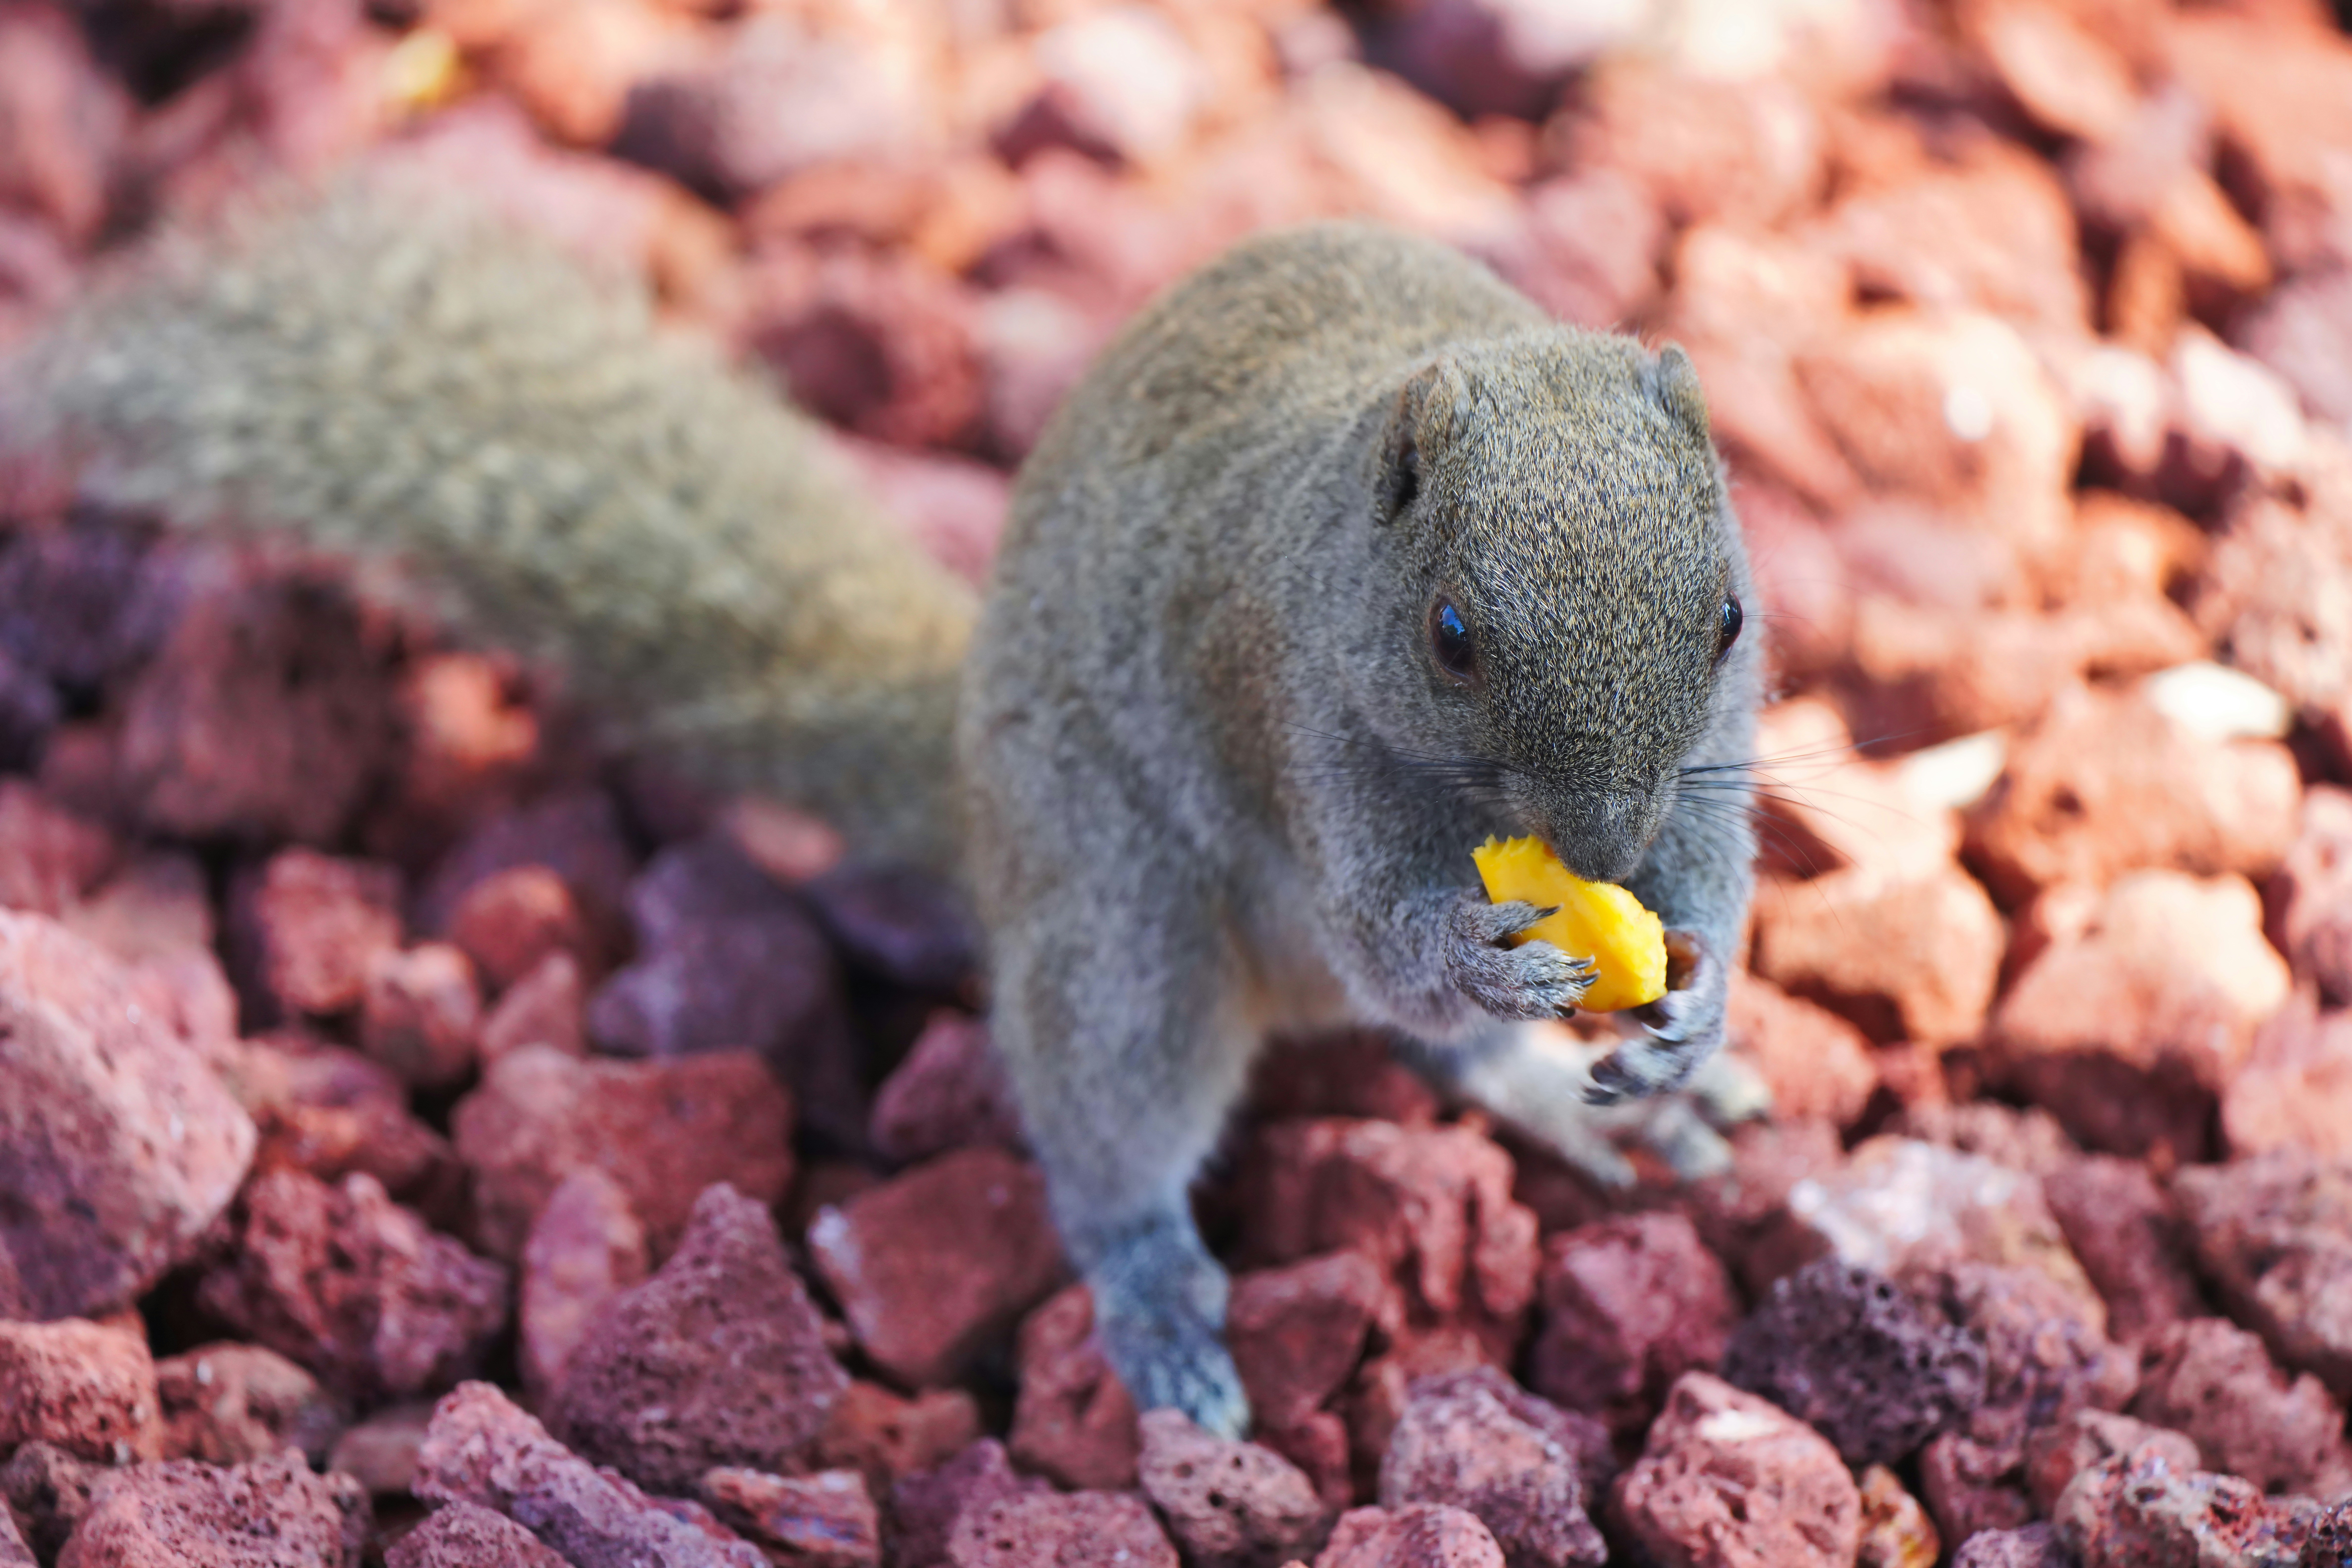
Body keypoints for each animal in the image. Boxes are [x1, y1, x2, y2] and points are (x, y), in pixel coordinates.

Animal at [3, 181, 1761, 1437]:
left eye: (1734, 616)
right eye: (1452, 634)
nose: (1601, 848)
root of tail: (971, 774)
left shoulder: (1716, 755)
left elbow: (1718, 863)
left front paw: (1699, 1007)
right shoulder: (1291, 717)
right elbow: (1389, 936)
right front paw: (1486, 961)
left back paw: (1596, 1099)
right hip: (1118, 927)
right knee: (1130, 1102)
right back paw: (1160, 1301)